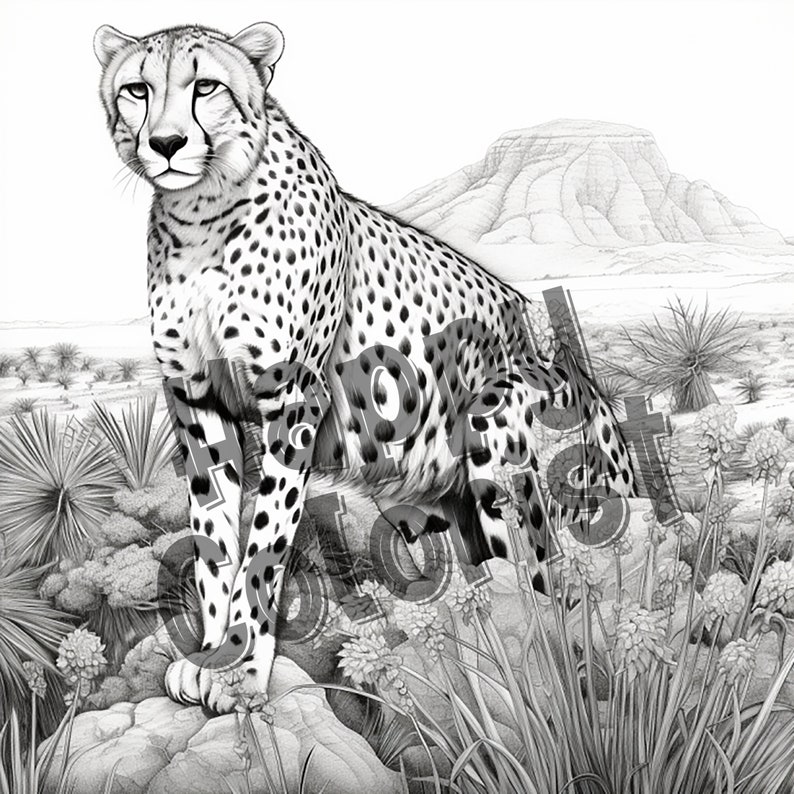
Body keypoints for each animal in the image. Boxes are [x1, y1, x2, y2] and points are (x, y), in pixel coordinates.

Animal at [94, 21, 637, 713]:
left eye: (207, 86)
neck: (202, 218)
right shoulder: (196, 403)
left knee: (542, 579)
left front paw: (242, 669)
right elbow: (213, 539)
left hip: (500, 441)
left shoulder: (293, 399)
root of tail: (589, 385)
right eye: (137, 89)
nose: (166, 144)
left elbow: (264, 542)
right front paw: (211, 654)